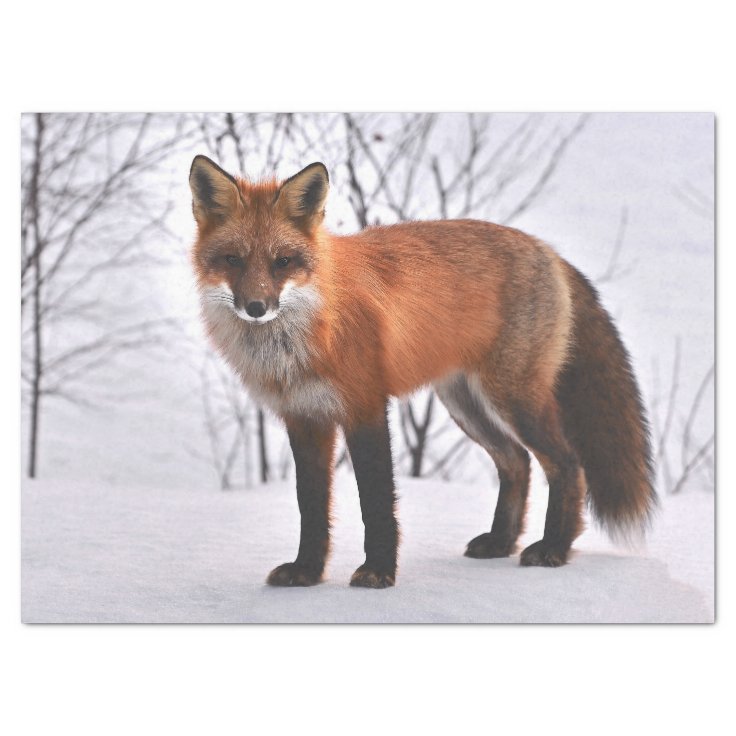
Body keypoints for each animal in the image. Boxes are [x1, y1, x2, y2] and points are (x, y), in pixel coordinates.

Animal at [188, 155, 655, 589]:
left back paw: (554, 548)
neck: (307, 332)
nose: (256, 307)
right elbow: (312, 506)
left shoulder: (365, 407)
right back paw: (501, 542)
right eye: (232, 260)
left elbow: (376, 502)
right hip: (466, 404)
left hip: (513, 398)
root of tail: (548, 250)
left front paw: (378, 572)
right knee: (516, 462)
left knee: (567, 464)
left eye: (282, 262)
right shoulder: (304, 418)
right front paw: (307, 571)